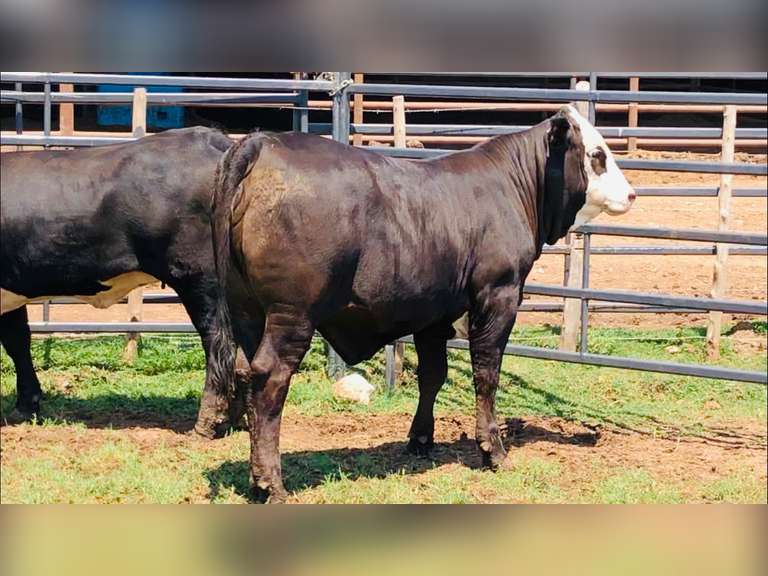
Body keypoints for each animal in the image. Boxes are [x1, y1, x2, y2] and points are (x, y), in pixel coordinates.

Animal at [1, 127, 245, 439]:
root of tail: (210, 139)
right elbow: (18, 341)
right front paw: (26, 405)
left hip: (200, 278)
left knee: (220, 341)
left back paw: (207, 422)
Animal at [210, 105, 636, 502]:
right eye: (597, 154)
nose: (632, 194)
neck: (512, 188)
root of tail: (263, 144)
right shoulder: (499, 296)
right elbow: (487, 374)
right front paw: (493, 451)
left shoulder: (434, 313)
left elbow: (433, 375)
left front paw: (420, 439)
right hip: (292, 316)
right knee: (269, 379)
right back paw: (271, 482)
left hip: (248, 312)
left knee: (245, 371)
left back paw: (256, 480)